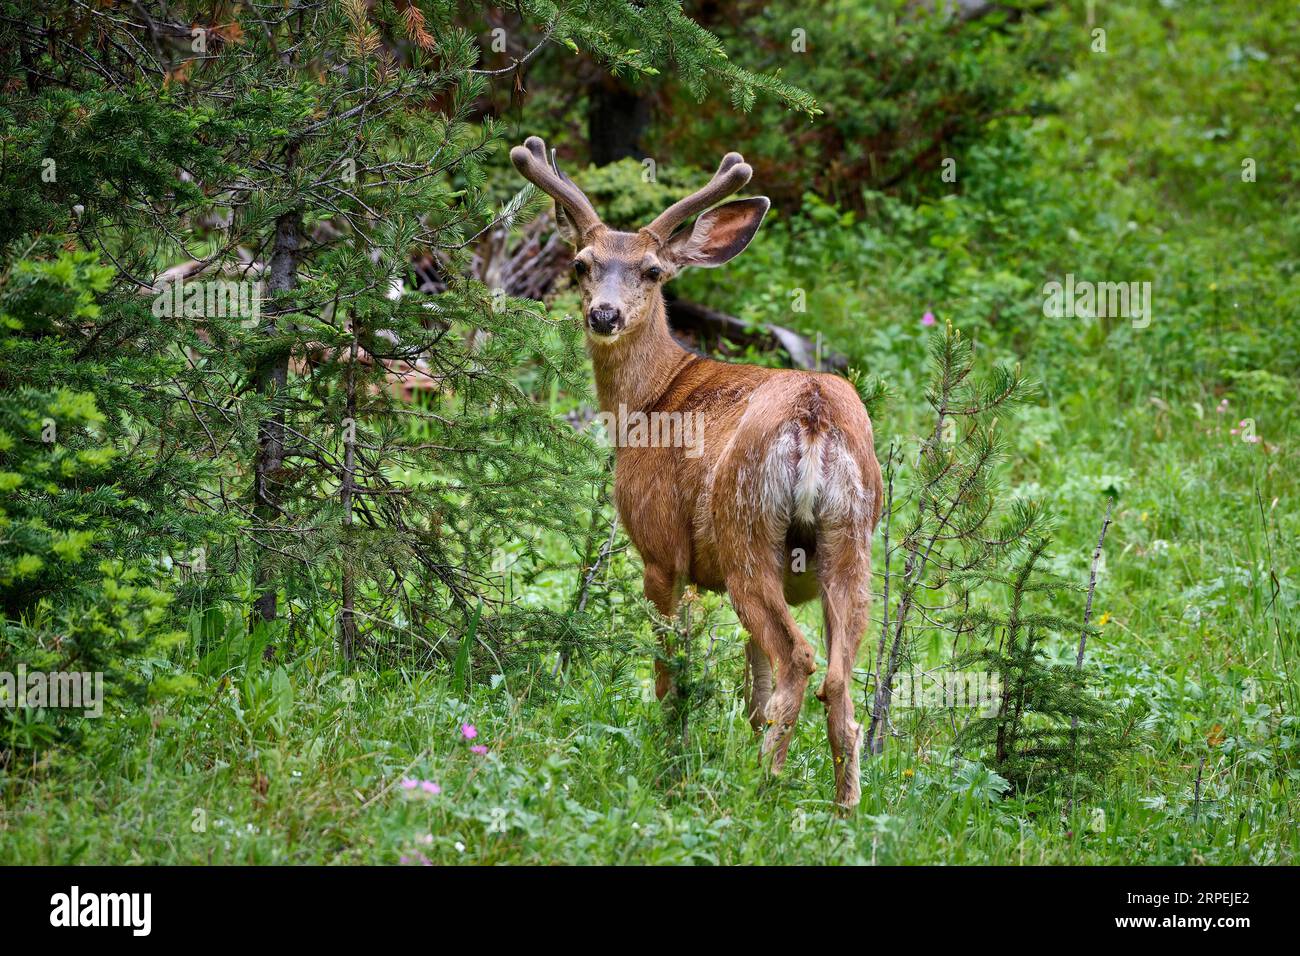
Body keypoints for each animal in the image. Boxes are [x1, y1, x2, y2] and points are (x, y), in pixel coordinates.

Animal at [511, 136, 883, 807]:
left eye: (653, 271)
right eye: (581, 264)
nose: (604, 315)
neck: (651, 399)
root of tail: (812, 419)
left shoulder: (661, 549)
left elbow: (670, 671)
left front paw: (670, 752)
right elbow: (751, 691)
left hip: (746, 534)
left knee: (798, 659)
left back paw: (763, 791)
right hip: (851, 543)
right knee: (838, 684)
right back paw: (843, 810)